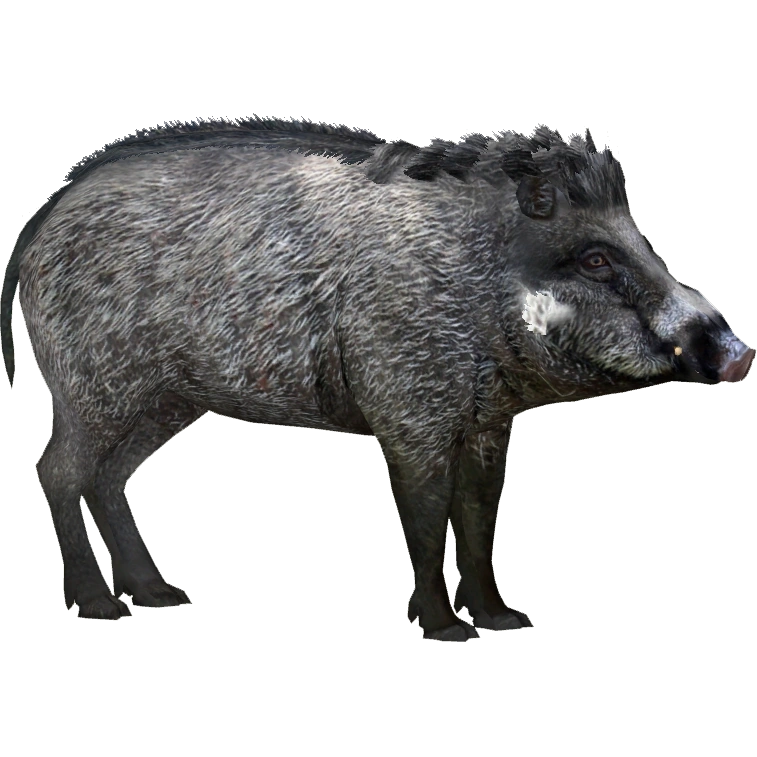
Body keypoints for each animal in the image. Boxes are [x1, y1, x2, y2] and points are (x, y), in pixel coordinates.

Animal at [1, 114, 753, 643]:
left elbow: (479, 516)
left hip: (160, 404)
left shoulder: (486, 426)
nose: (739, 352)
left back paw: (164, 595)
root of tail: (39, 223)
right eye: (595, 258)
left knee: (107, 478)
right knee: (56, 470)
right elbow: (424, 517)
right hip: (93, 389)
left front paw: (505, 621)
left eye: (642, 239)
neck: (474, 281)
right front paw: (446, 633)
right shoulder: (408, 410)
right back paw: (100, 609)